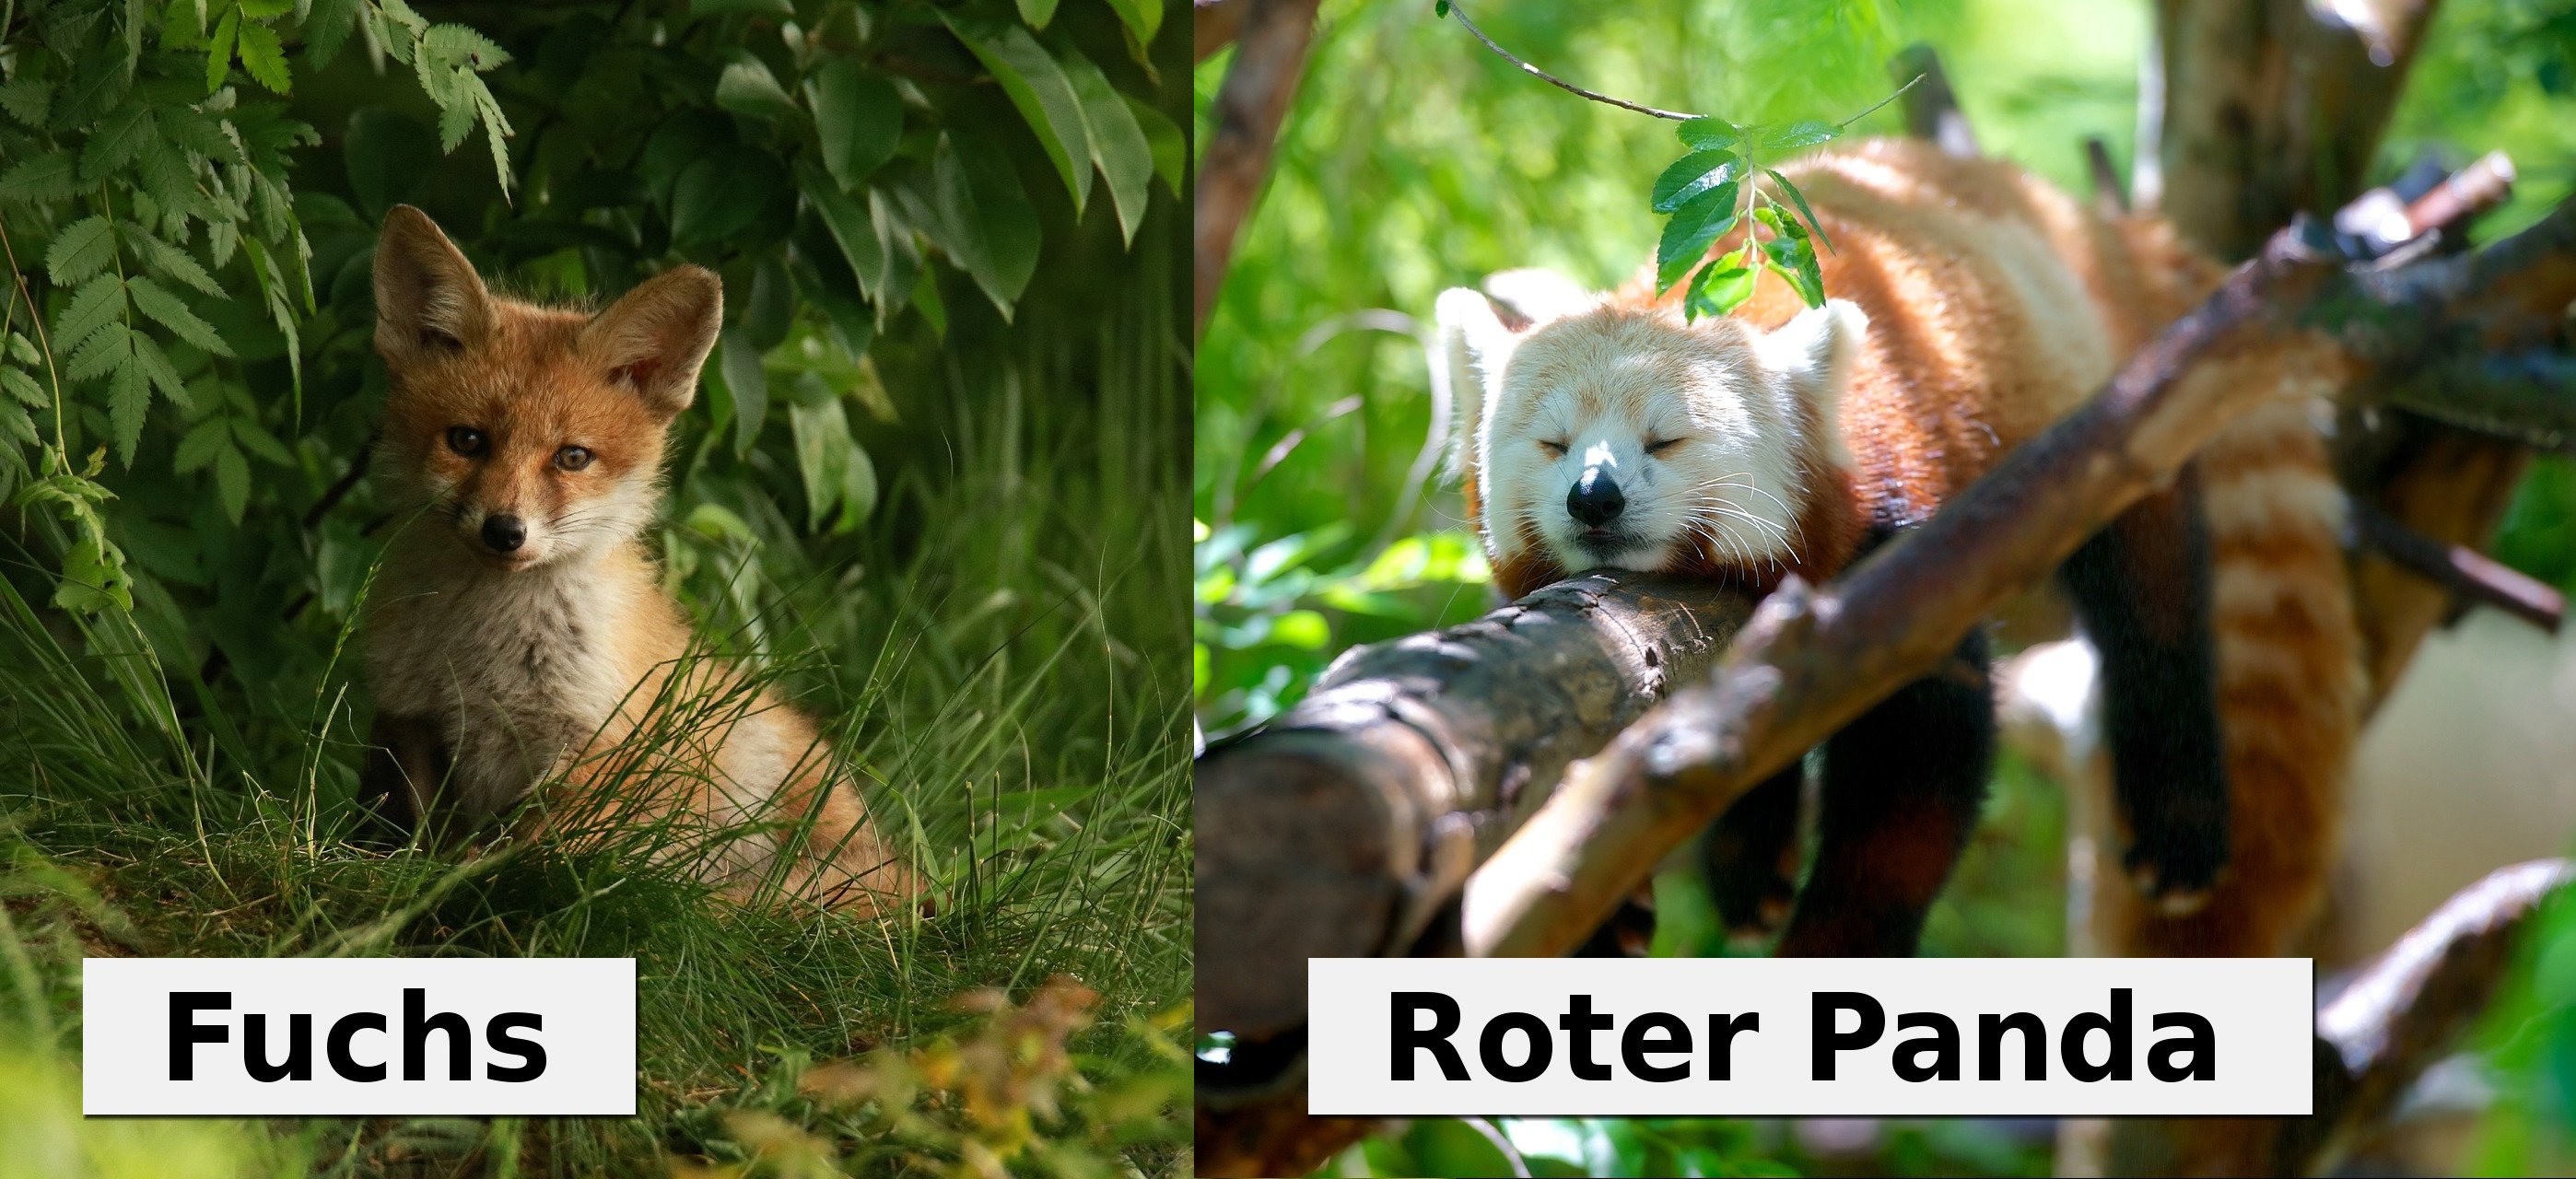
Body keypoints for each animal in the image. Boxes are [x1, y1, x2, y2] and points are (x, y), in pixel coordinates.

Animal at [355, 205, 922, 916]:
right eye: (466, 440)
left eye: (573, 457)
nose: (505, 531)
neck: (483, 653)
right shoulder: (413, 718)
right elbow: (422, 834)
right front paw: (413, 876)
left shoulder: (597, 745)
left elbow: (529, 853)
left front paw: (474, 884)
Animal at [1437, 138, 2361, 958]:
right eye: (1554, 445)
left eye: (1665, 441)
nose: (1595, 499)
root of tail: (2089, 222)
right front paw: (1607, 915)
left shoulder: (1903, 553)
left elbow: (1918, 762)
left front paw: (1831, 949)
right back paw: (1749, 863)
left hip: (2112, 415)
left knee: (2154, 602)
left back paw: (2179, 817)